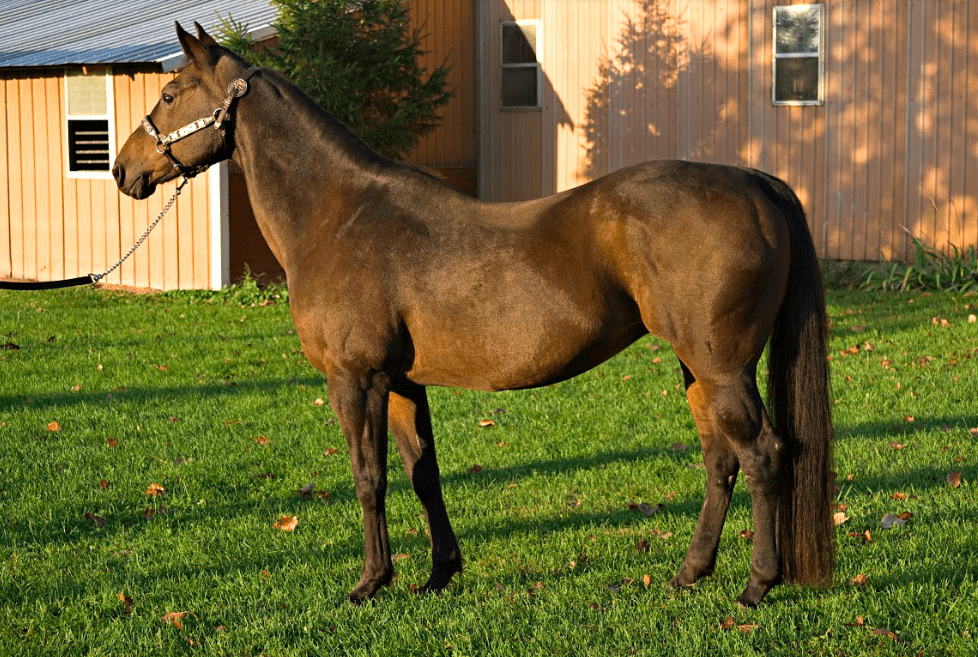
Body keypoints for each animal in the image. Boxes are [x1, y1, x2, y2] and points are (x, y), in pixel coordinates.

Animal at [113, 23, 835, 608]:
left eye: (171, 93)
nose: (123, 170)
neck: (337, 213)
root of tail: (754, 183)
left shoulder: (355, 379)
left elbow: (369, 478)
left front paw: (371, 582)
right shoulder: (402, 383)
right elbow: (422, 474)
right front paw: (438, 573)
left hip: (724, 368)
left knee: (764, 455)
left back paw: (756, 585)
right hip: (697, 368)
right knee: (720, 460)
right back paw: (689, 574)